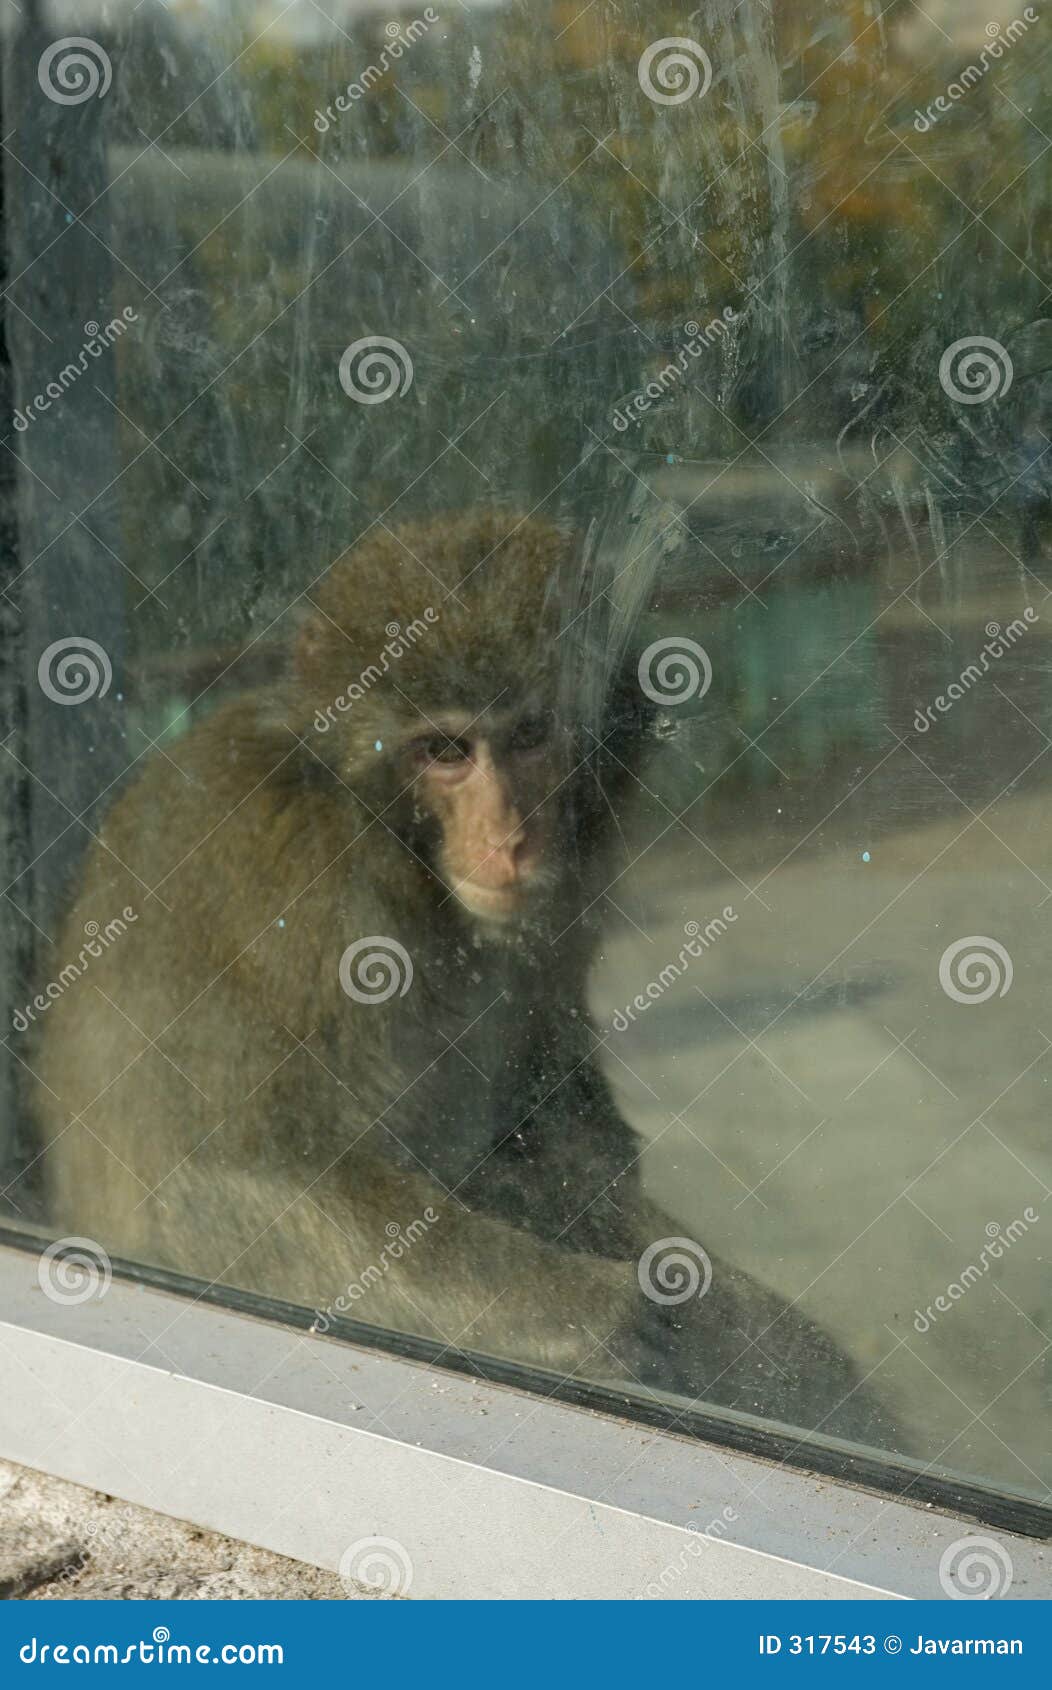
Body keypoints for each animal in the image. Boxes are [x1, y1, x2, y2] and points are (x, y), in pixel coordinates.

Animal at [32, 509, 894, 1449]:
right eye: (444, 750)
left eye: (530, 735)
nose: (511, 838)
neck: (383, 828)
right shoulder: (311, 898)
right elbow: (223, 1167)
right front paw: (580, 1314)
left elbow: (553, 1121)